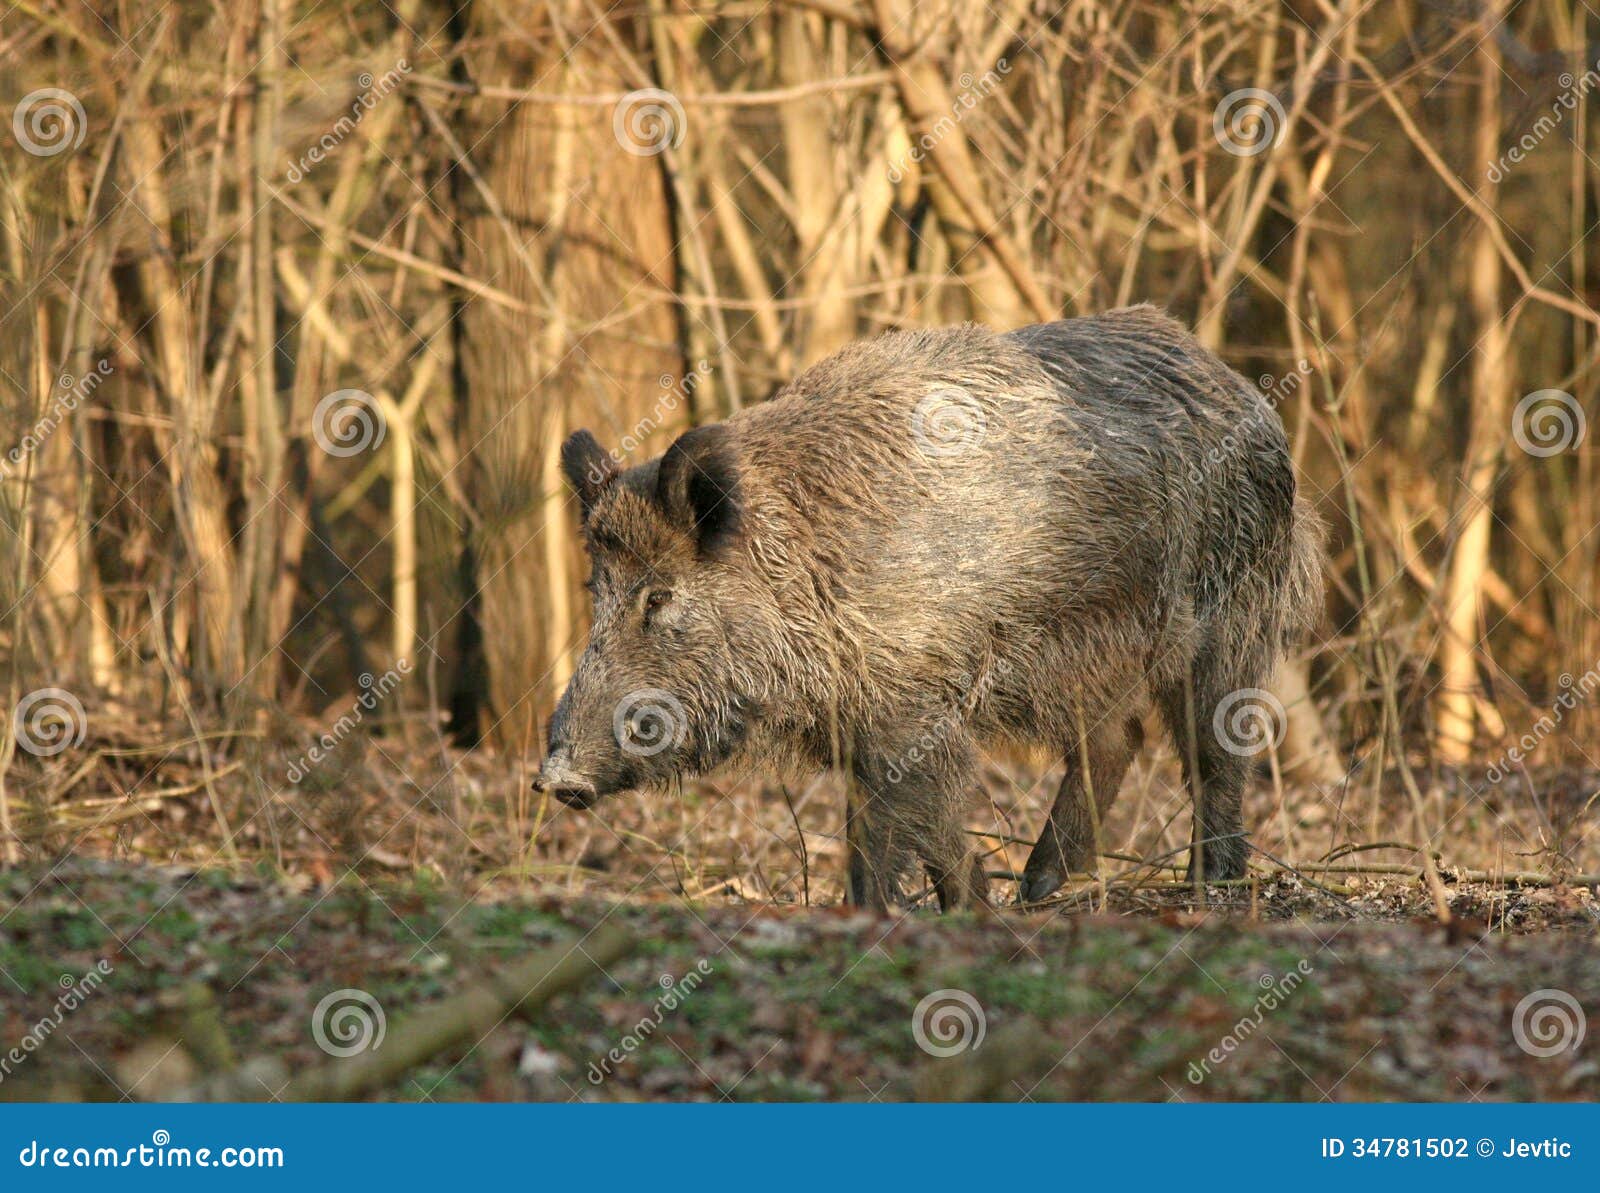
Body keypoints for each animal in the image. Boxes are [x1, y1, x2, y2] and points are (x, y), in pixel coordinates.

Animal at [533, 305, 1322, 911]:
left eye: (659, 595)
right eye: (596, 590)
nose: (555, 779)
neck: (804, 569)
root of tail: (1241, 389)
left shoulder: (908, 709)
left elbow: (901, 824)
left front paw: (902, 912)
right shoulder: (871, 720)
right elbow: (915, 827)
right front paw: (967, 904)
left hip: (1233, 611)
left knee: (1217, 742)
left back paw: (1212, 885)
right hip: (1091, 656)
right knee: (1116, 737)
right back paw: (1037, 888)